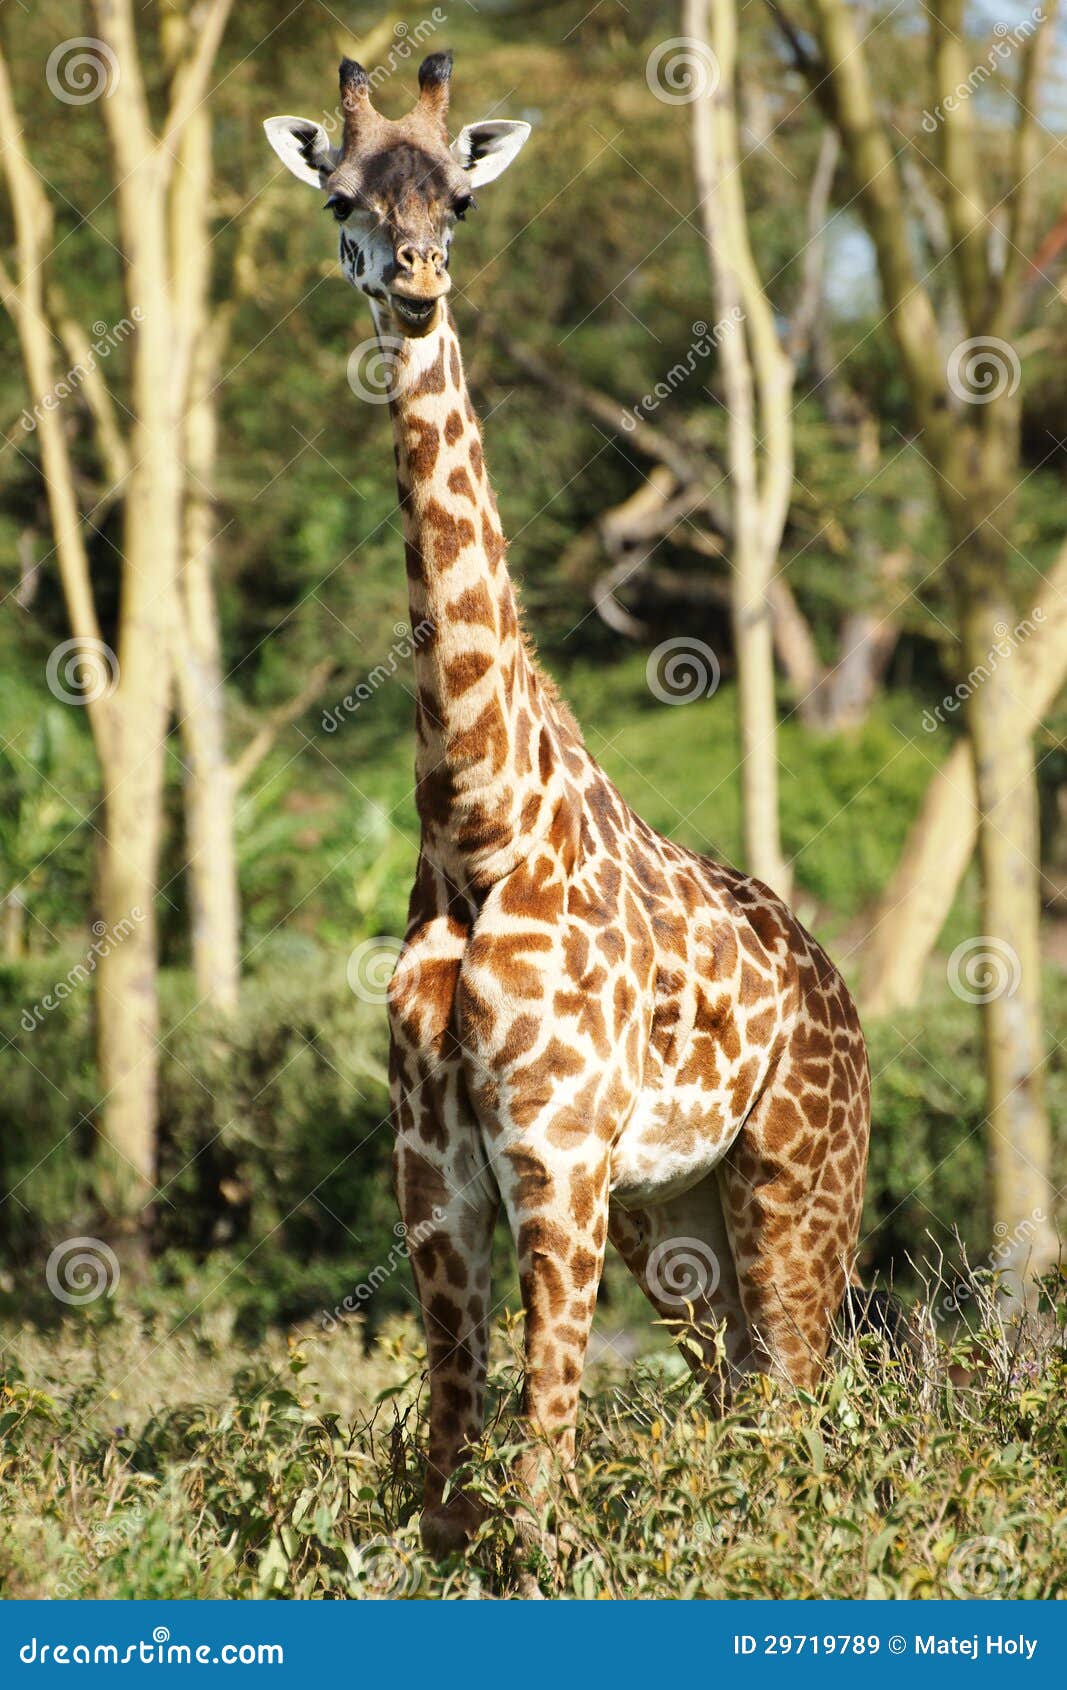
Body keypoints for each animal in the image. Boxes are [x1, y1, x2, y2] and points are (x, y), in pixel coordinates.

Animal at [265, 52, 871, 1558]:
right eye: (343, 198)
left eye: (461, 198)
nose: (416, 278)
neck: (477, 826)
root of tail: (834, 981)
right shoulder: (433, 1170)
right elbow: (447, 1470)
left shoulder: (553, 1154)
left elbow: (538, 1477)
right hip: (681, 1214)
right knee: (735, 1395)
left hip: (792, 1187)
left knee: (796, 1409)